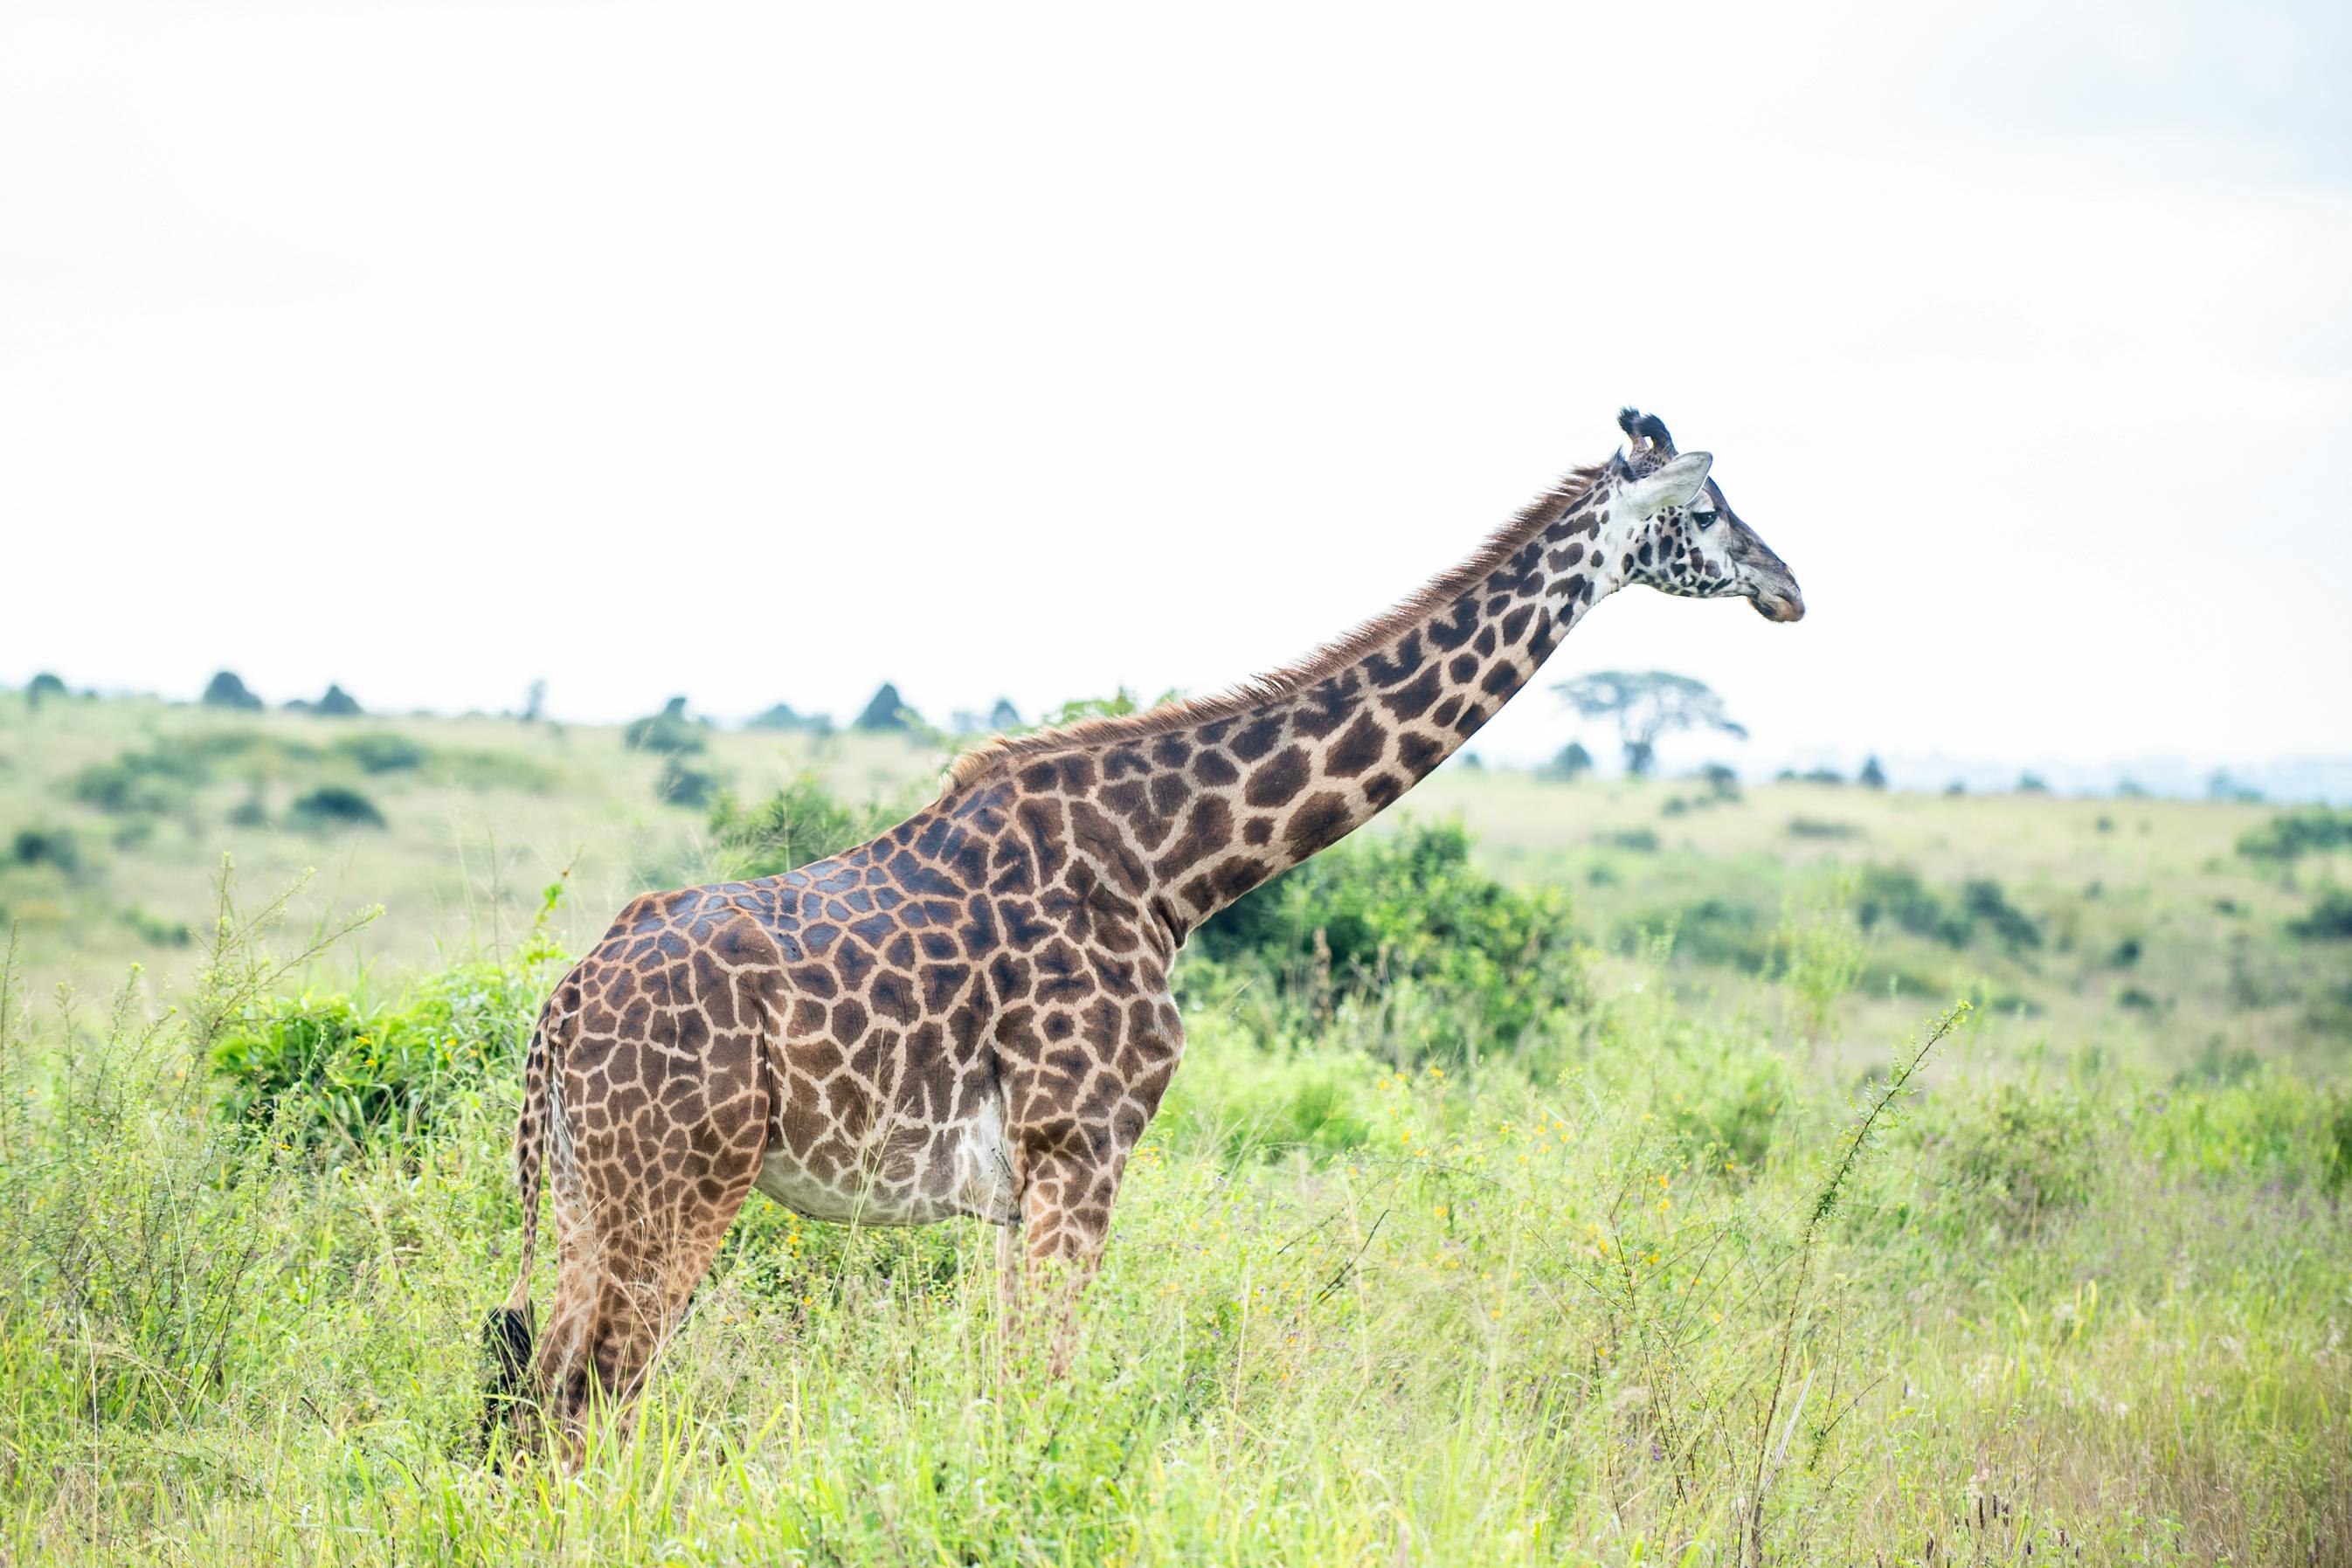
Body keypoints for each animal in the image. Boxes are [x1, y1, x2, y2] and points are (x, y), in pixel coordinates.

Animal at [480, 407, 1804, 1457]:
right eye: (1710, 507)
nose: (1791, 584)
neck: (1172, 865)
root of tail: (563, 1006)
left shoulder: (1020, 1188)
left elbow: (1011, 1382)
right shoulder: (1084, 1143)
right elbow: (1046, 1385)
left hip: (594, 1188)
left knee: (541, 1383)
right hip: (678, 1182)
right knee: (590, 1390)